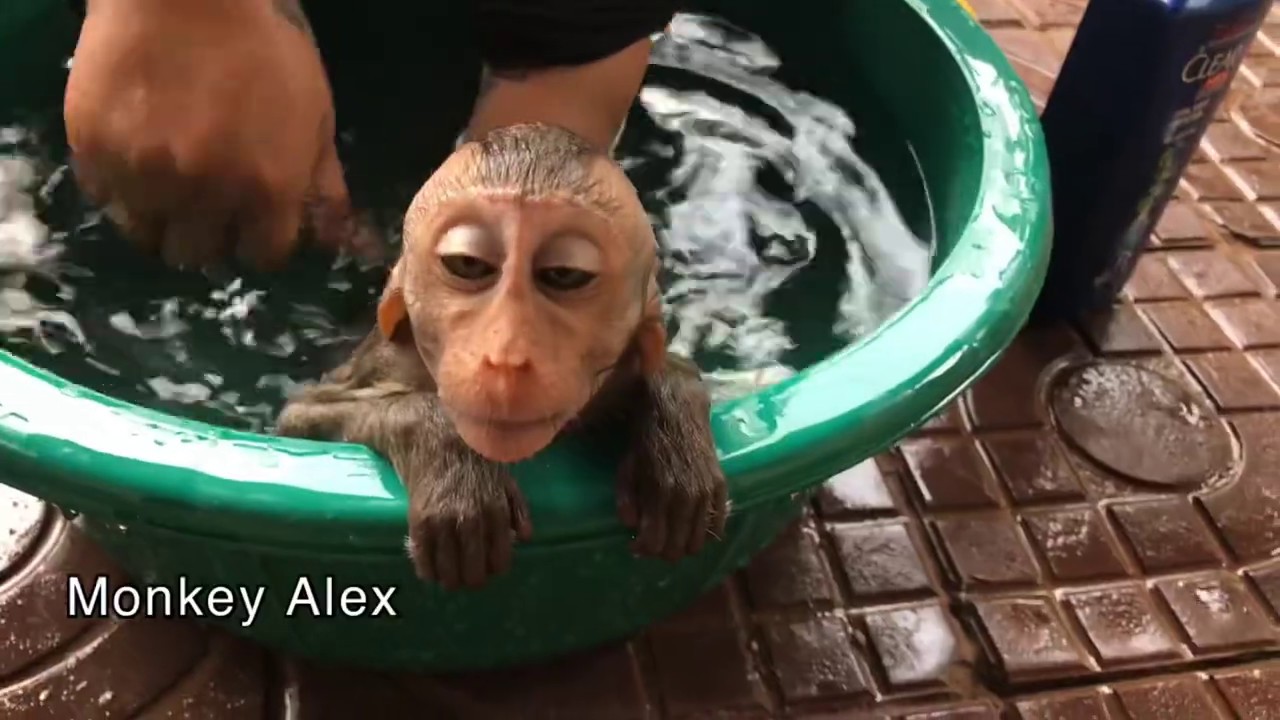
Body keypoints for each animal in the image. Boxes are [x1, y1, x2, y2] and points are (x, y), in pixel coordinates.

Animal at [275, 123, 728, 590]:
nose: (506, 355)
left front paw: (671, 428)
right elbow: (300, 419)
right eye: (467, 264)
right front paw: (452, 466)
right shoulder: (387, 359)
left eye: (565, 274)